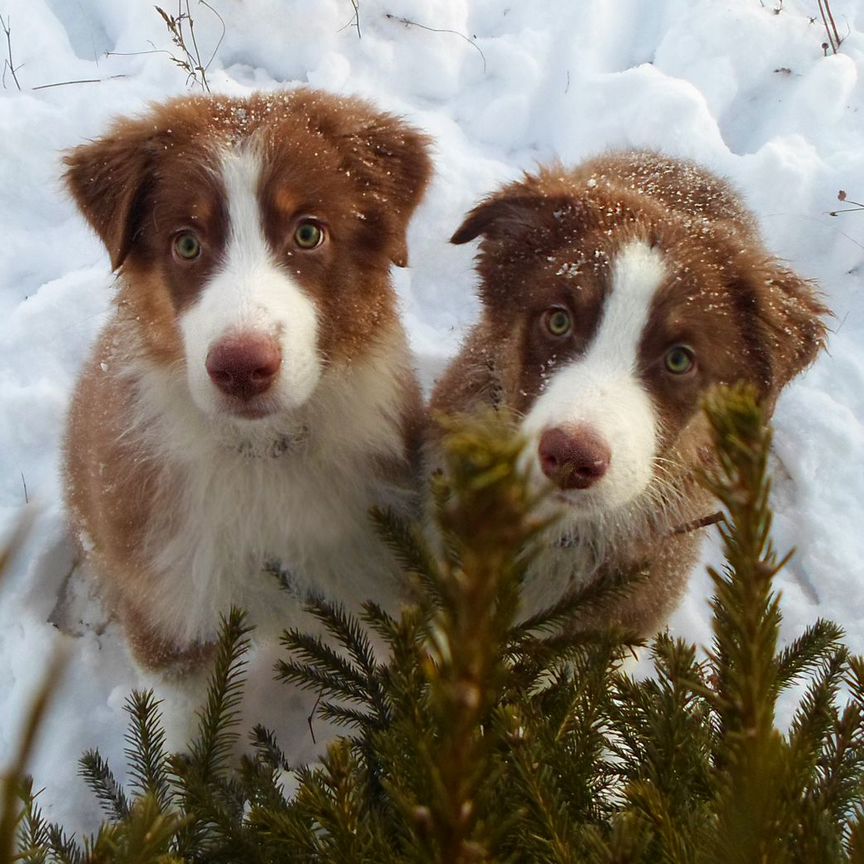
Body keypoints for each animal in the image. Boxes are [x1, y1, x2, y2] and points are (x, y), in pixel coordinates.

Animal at [62, 89, 432, 668]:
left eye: (308, 232)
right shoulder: (169, 619)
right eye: (186, 244)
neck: (261, 453)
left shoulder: (379, 580)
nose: (241, 368)